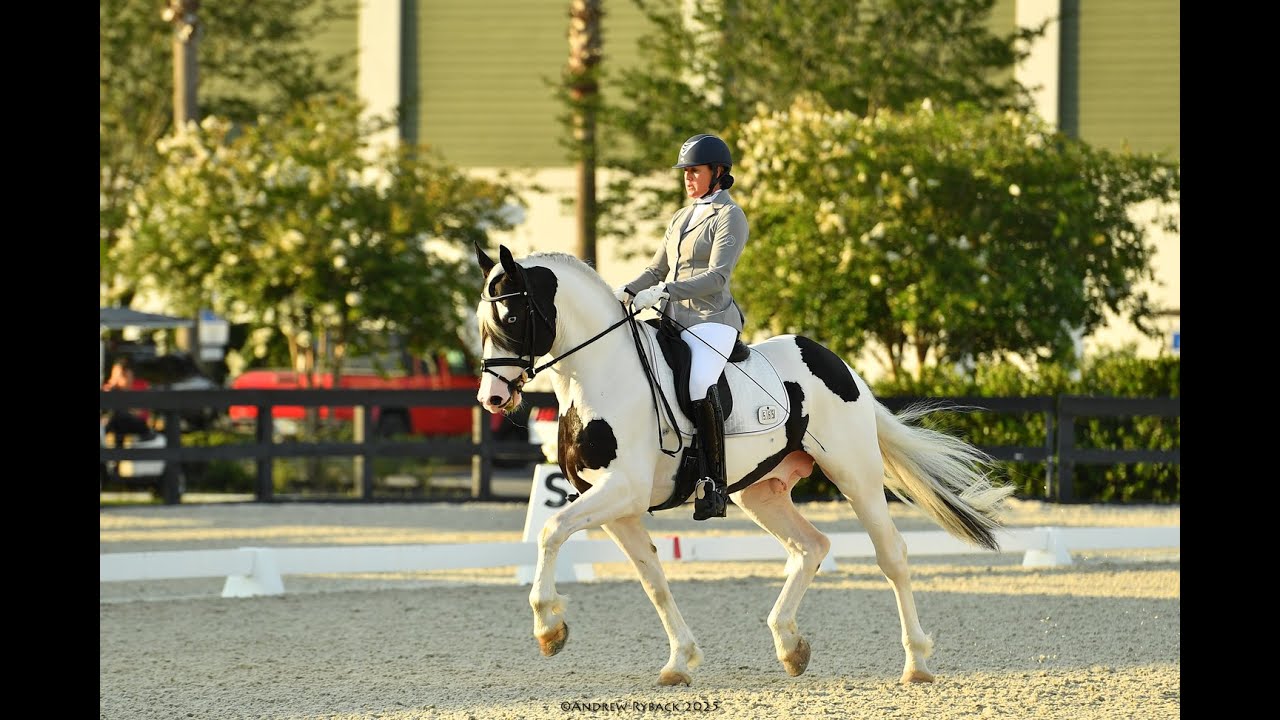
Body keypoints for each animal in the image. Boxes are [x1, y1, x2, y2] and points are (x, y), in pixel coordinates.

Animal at [473, 244, 1014, 686]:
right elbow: (653, 580)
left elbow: (551, 532)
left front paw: (549, 627)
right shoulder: (613, 505)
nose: (492, 398)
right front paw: (679, 662)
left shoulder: (622, 490)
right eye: (482, 320)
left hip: (854, 474)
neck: (602, 376)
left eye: (513, 317)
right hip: (760, 491)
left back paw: (916, 663)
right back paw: (790, 646)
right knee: (811, 546)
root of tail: (840, 365)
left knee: (892, 555)